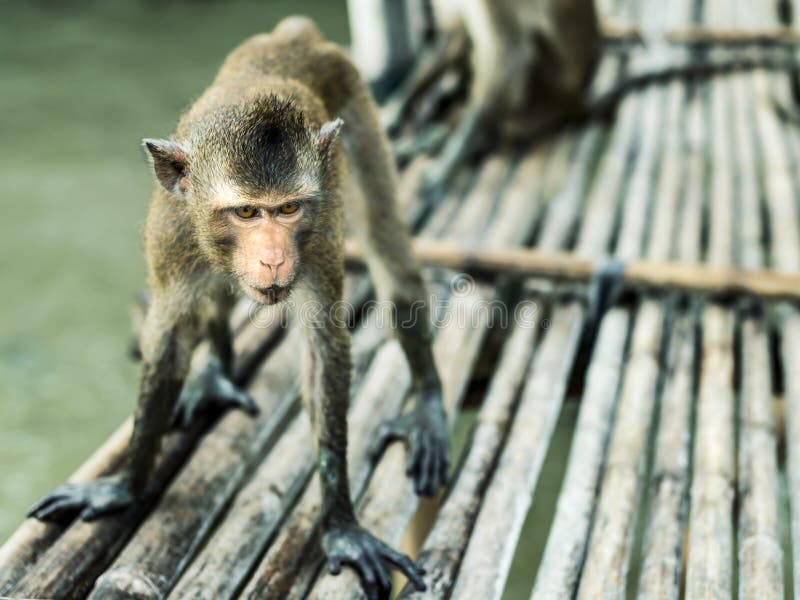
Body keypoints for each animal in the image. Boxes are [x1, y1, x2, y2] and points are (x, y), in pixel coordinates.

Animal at [27, 16, 449, 599]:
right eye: (247, 212)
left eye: (288, 209)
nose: (272, 258)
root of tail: (295, 34)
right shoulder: (173, 233)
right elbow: (170, 335)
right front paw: (126, 486)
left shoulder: (319, 234)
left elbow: (322, 349)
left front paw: (341, 526)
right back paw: (216, 373)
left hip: (358, 116)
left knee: (391, 256)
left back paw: (427, 401)